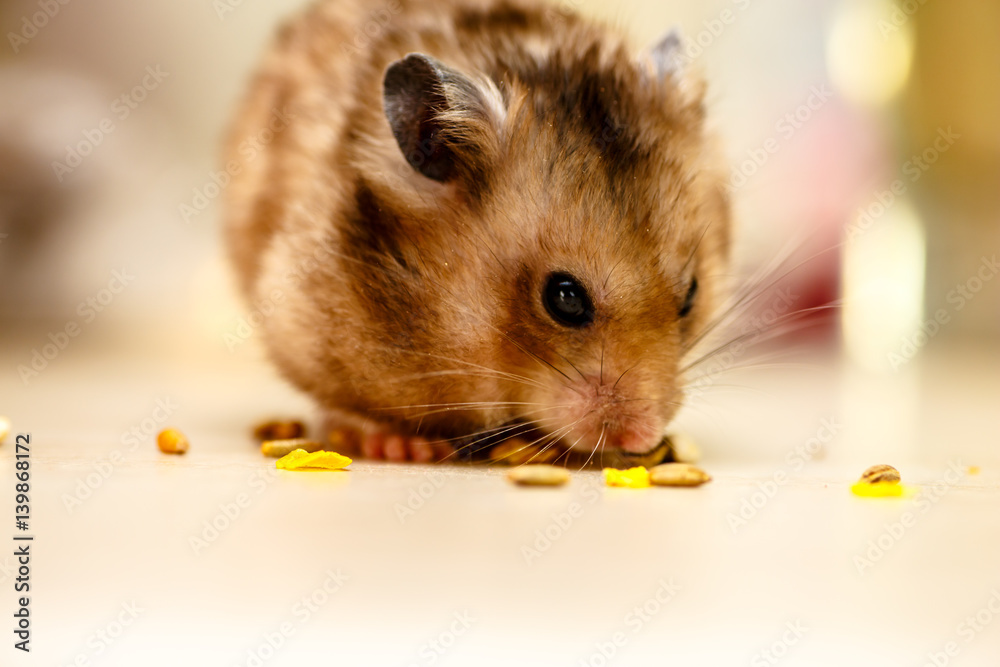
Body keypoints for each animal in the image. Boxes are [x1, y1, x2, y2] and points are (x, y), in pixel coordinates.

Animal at [224, 0, 731, 464]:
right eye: (564, 298)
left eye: (691, 295)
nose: (643, 439)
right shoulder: (299, 314)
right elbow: (345, 403)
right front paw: (405, 446)